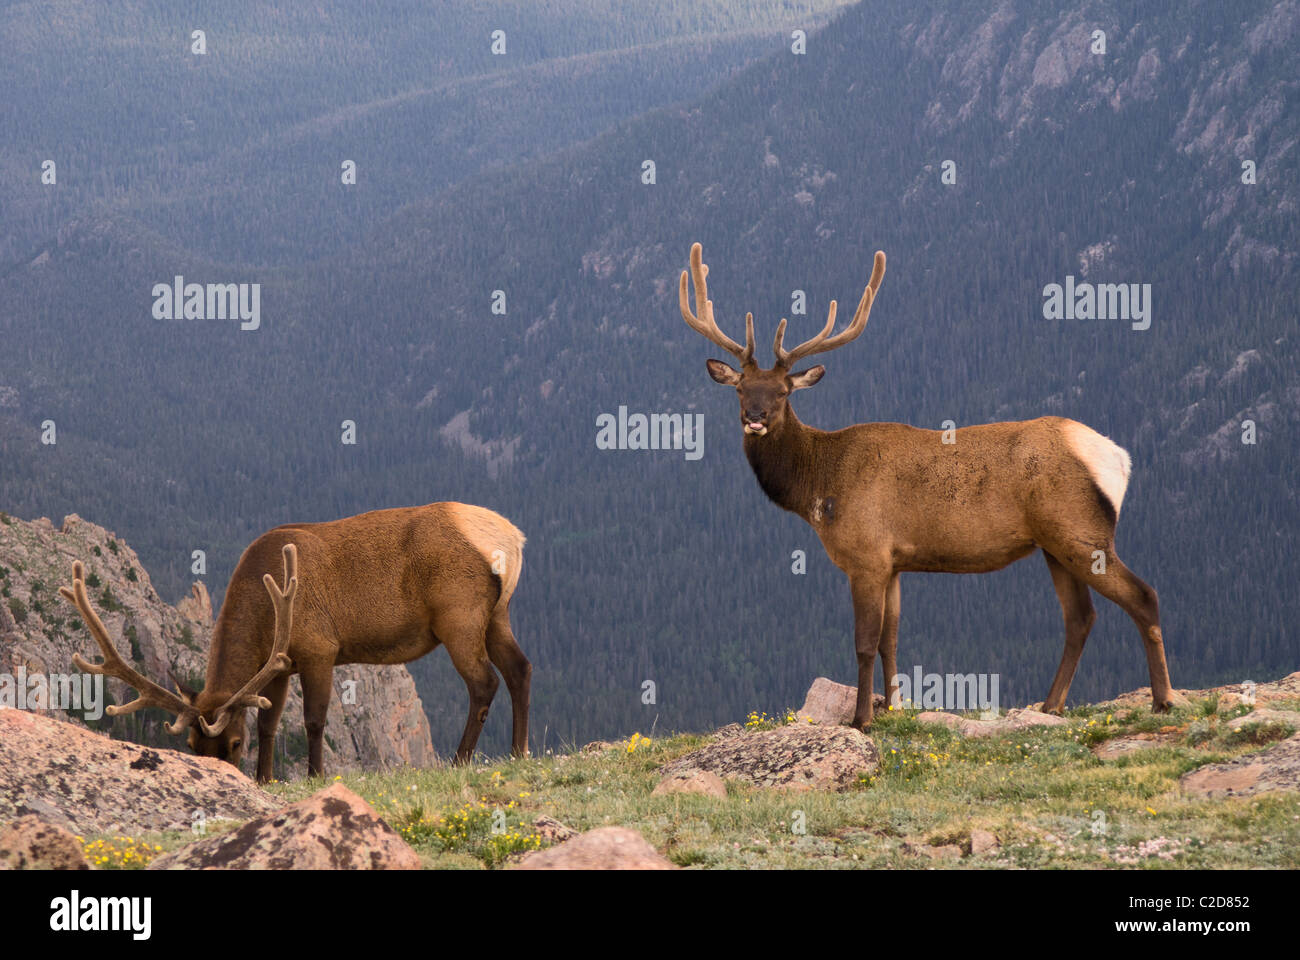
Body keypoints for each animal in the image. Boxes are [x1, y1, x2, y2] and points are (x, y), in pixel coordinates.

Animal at [60, 502, 531, 782]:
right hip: (498, 614)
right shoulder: (280, 666)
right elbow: (269, 723)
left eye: (233, 744)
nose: (224, 777)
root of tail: (512, 538)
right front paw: (265, 778)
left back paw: (460, 761)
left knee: (484, 682)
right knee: (520, 669)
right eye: (192, 746)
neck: (266, 618)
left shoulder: (319, 648)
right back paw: (518, 752)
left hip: (459, 614)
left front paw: (315, 775)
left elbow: (314, 720)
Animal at [679, 242, 1175, 729]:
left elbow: (864, 642)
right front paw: (894, 709)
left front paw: (862, 719)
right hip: (1054, 543)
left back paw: (1163, 700)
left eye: (783, 391)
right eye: (741, 388)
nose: (755, 418)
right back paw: (1052, 706)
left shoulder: (867, 555)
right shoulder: (896, 562)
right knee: (1081, 617)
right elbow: (891, 640)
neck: (821, 488)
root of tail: (1118, 458)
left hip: (1081, 531)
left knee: (1143, 595)